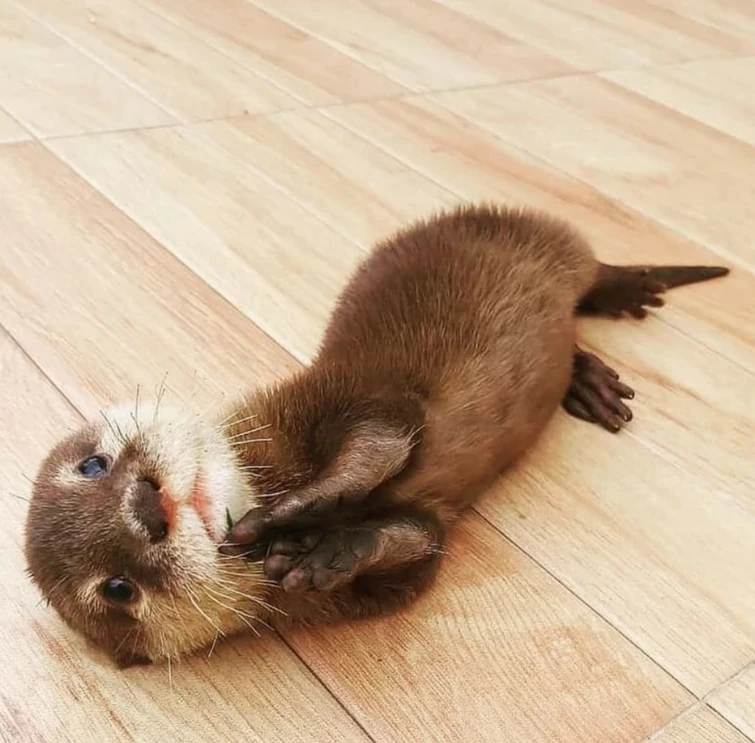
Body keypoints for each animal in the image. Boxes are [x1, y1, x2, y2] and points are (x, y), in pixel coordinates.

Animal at [24, 204, 728, 668]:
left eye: (92, 465)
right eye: (118, 589)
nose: (147, 508)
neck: (269, 460)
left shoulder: (346, 392)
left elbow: (381, 436)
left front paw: (295, 515)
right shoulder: (376, 580)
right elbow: (417, 543)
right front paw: (329, 550)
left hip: (536, 236)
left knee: (588, 263)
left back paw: (630, 292)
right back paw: (587, 378)